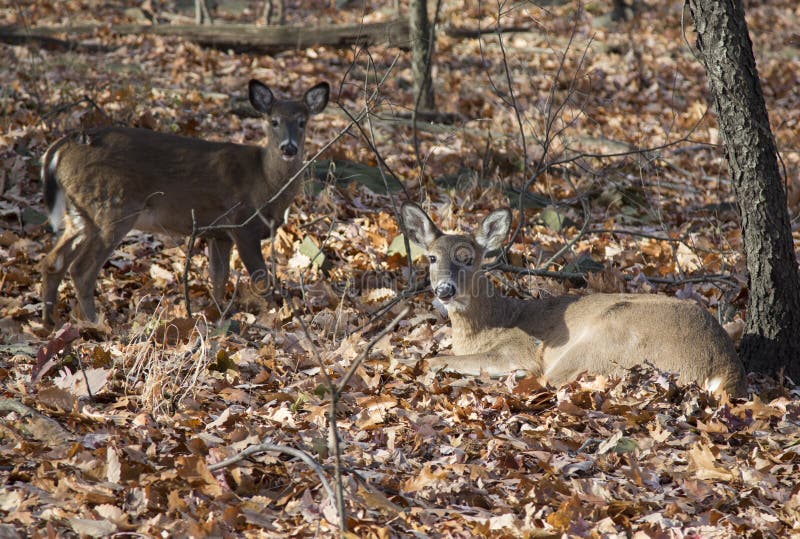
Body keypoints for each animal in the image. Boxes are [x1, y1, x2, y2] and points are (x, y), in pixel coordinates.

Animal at [40, 79, 329, 326]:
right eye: (274, 121)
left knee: (53, 261)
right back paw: (94, 323)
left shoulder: (219, 233)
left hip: (79, 213)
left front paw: (219, 314)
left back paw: (49, 321)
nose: (289, 148)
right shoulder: (243, 224)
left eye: (302, 121)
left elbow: (219, 277)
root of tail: (61, 148)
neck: (265, 183)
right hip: (112, 206)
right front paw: (274, 316)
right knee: (81, 270)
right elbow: (261, 279)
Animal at [401, 202, 746, 396]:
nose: (444, 290)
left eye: (468, 258)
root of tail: (723, 364)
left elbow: (436, 359)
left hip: (606, 339)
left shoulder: (518, 349)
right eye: (432, 257)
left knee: (548, 380)